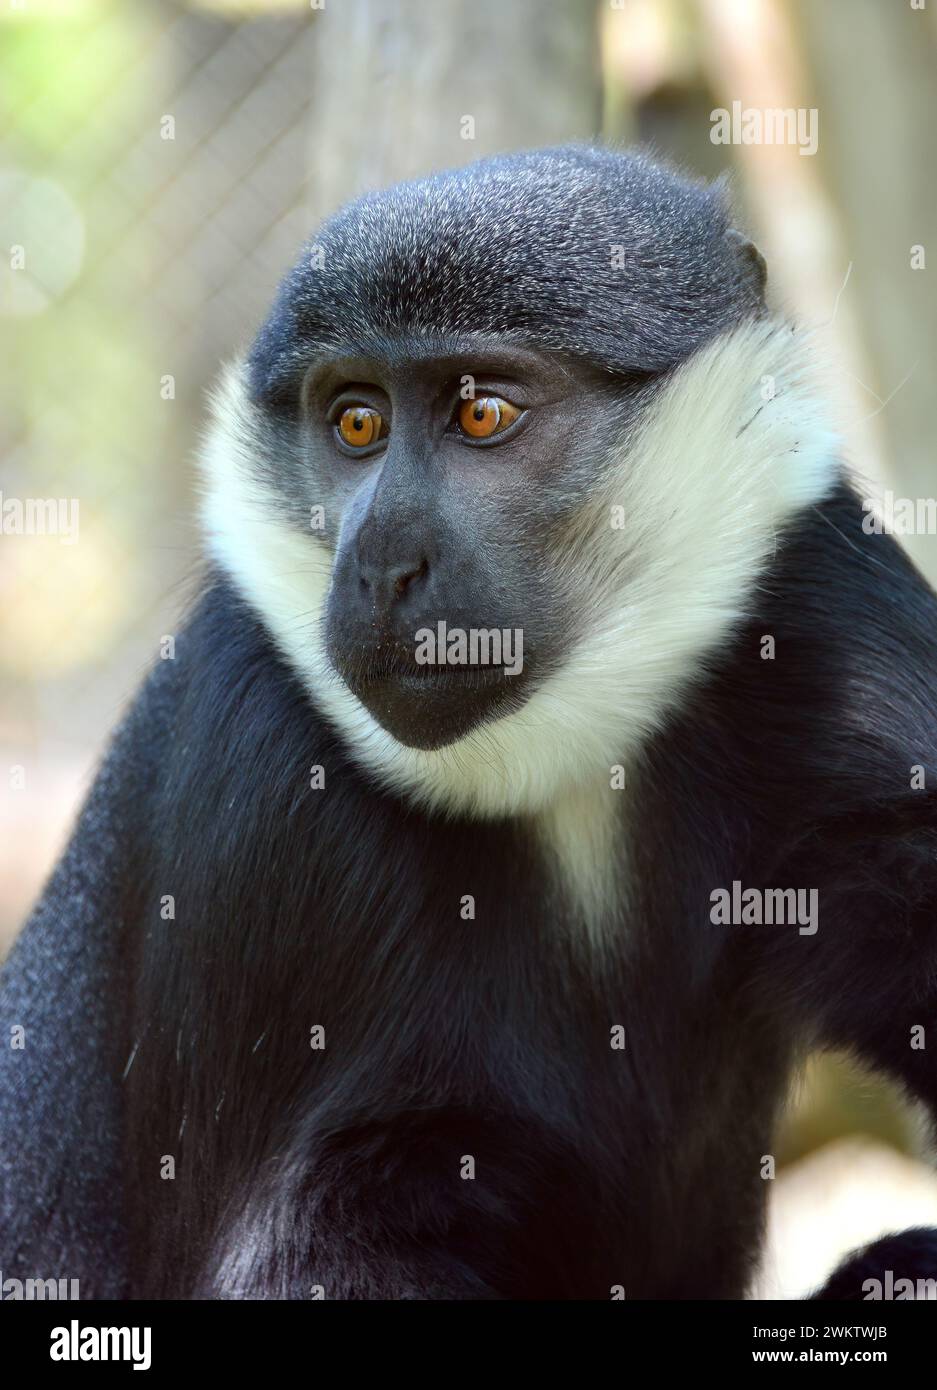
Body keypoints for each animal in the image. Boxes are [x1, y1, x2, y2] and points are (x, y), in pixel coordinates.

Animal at [2, 144, 937, 1300]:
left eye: (481, 413)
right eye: (355, 423)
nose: (379, 565)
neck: (563, 769)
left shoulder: (831, 613)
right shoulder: (261, 778)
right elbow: (296, 1250)